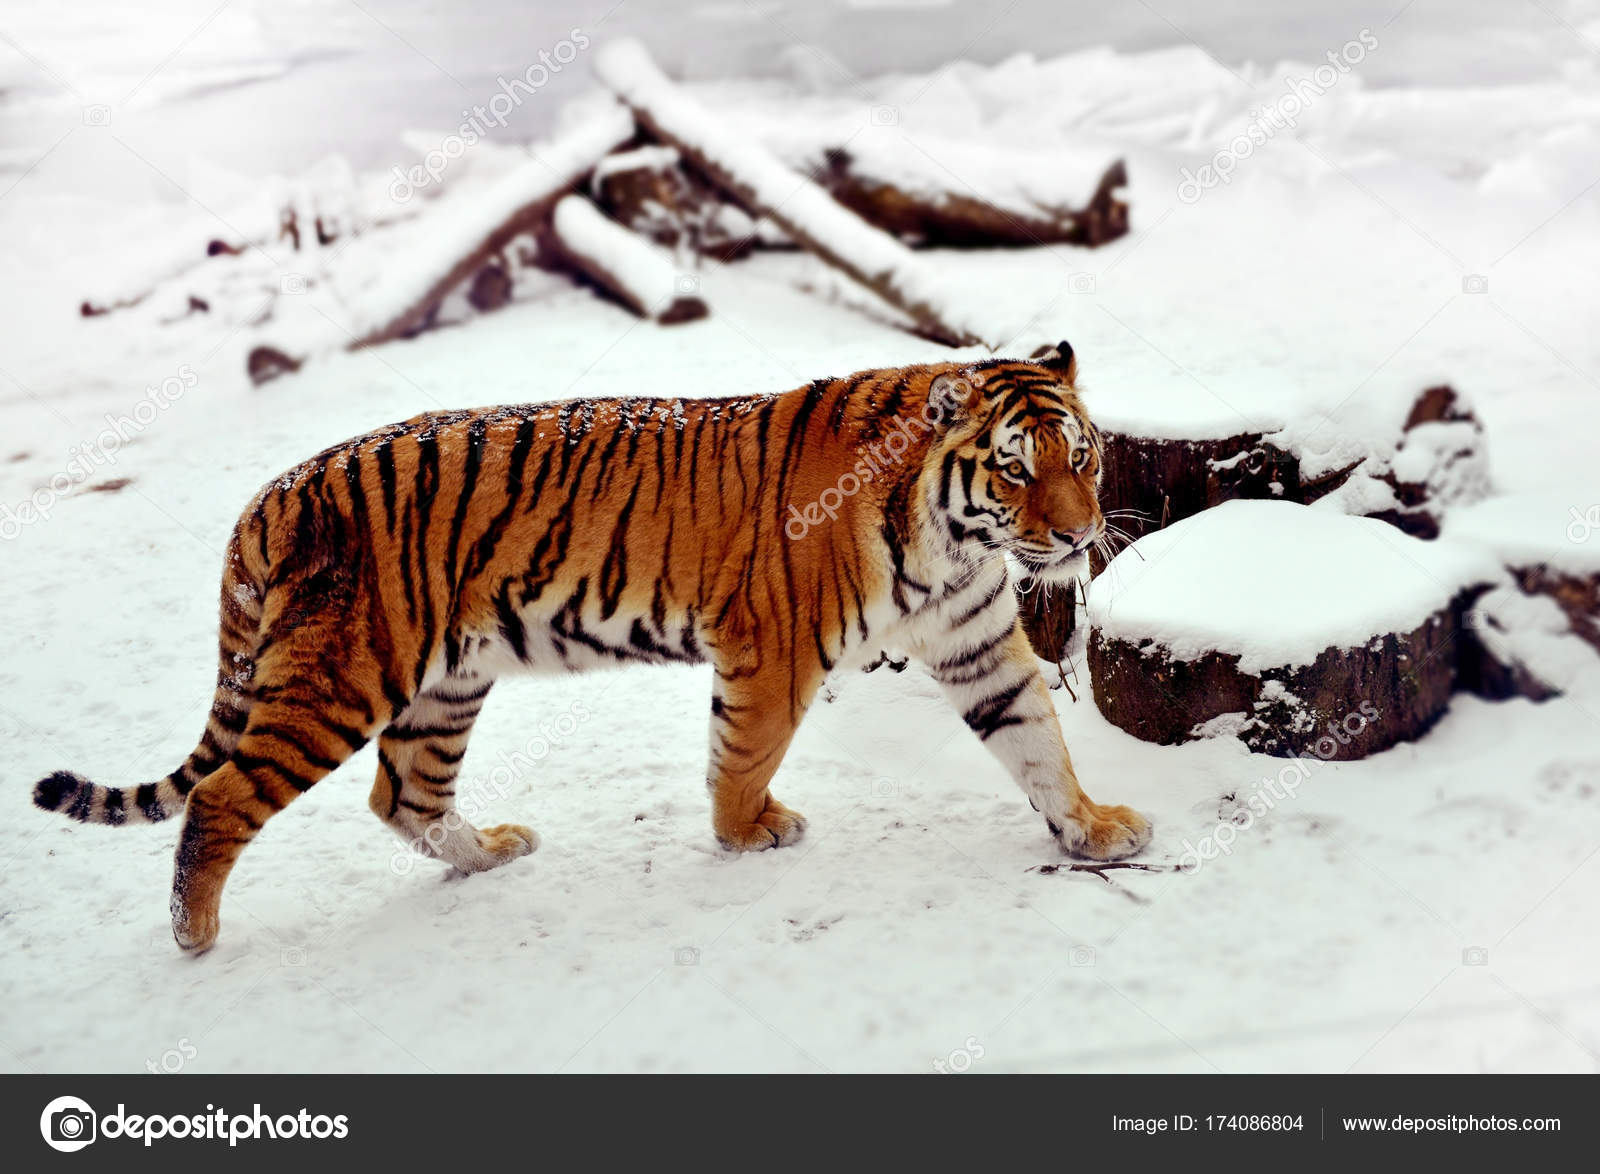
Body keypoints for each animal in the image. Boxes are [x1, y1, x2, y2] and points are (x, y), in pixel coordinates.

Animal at [32, 340, 1152, 952]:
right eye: (1014, 469)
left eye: (1082, 456)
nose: (1073, 534)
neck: (955, 536)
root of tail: (270, 494)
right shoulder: (771, 647)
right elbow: (743, 756)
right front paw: (751, 834)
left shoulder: (974, 642)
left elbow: (1037, 742)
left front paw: (1093, 830)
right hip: (338, 680)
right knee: (222, 799)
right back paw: (196, 937)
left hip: (445, 684)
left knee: (405, 797)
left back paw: (489, 852)